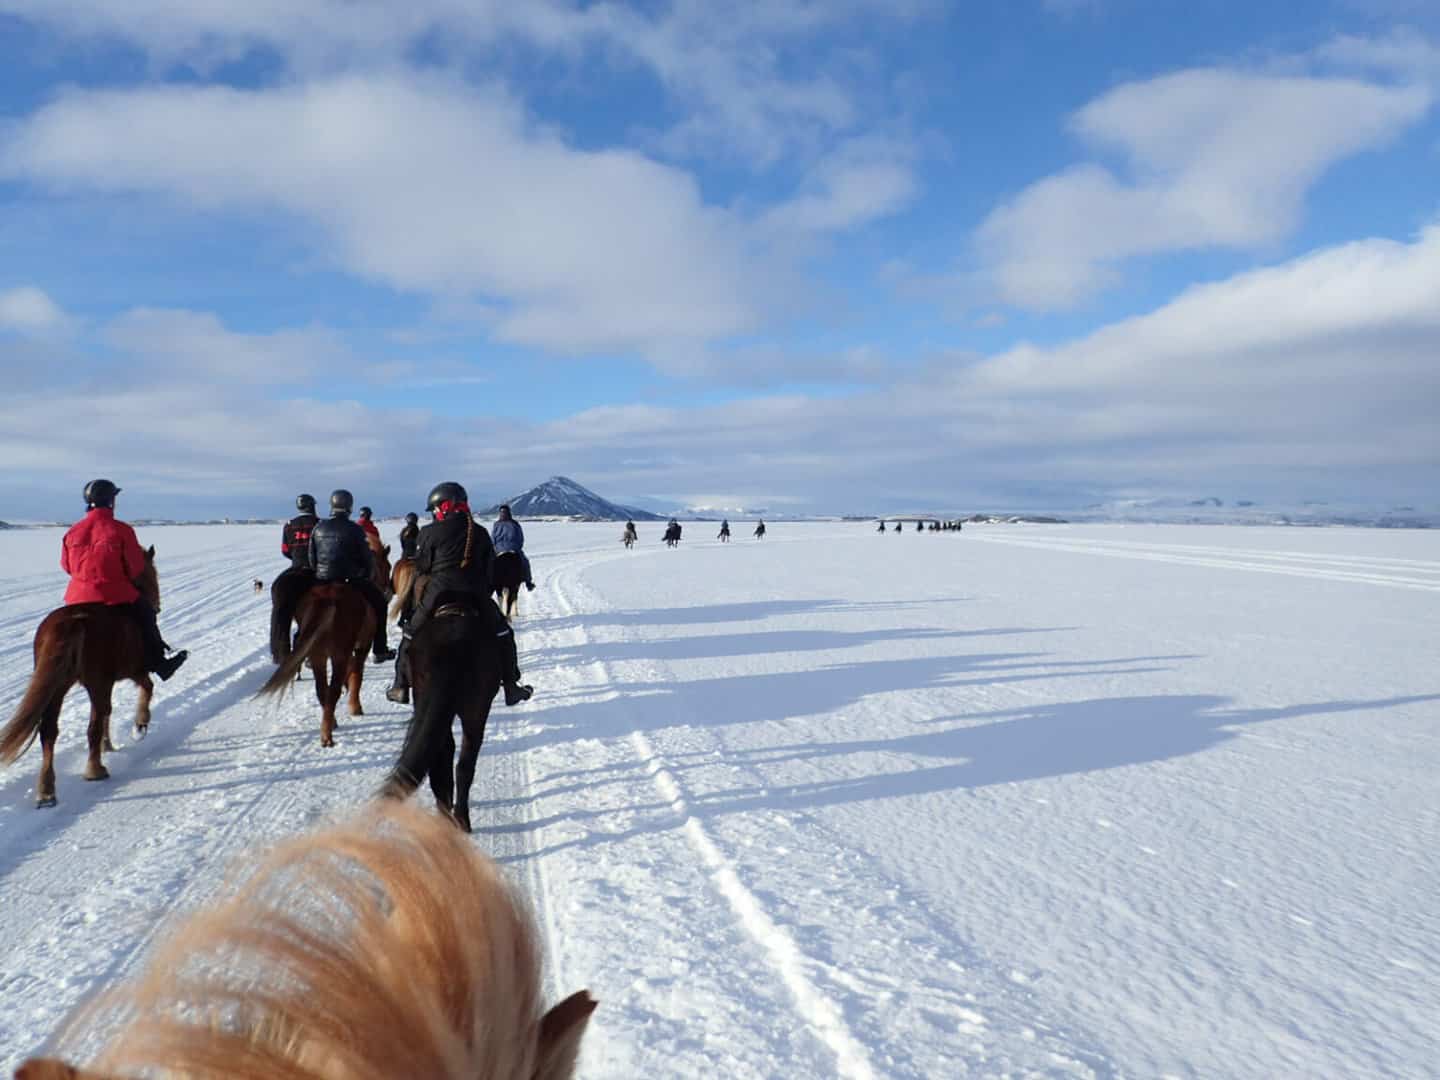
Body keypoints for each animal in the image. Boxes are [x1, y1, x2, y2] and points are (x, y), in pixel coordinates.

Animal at [1, 547, 164, 808]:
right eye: (152, 575)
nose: (157, 606)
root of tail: (71, 622)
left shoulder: (109, 680)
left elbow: (109, 710)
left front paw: (108, 745)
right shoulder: (131, 672)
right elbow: (147, 688)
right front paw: (140, 724)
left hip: (58, 686)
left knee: (49, 731)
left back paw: (46, 791)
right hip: (94, 682)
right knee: (92, 725)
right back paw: (95, 770)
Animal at [257, 583, 374, 747]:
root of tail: (327, 598)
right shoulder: (362, 647)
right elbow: (357, 675)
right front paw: (355, 707)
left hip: (318, 655)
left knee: (322, 690)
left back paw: (330, 724)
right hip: (339, 654)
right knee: (333, 690)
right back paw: (327, 736)